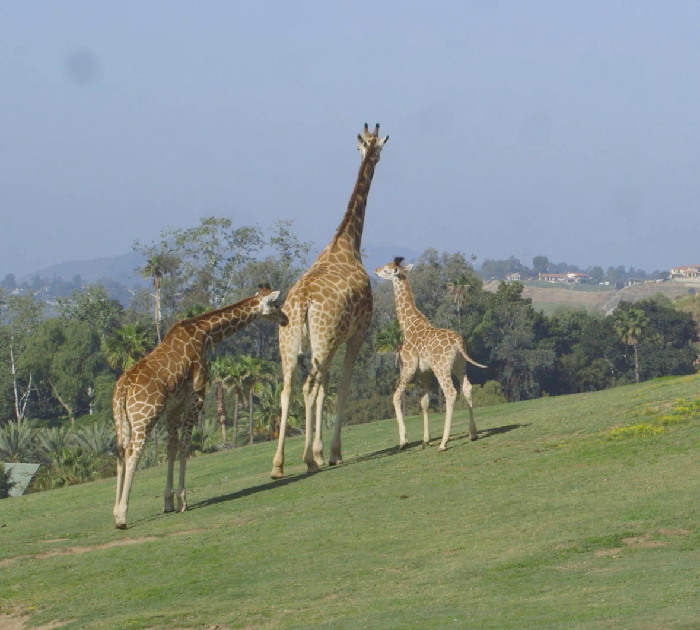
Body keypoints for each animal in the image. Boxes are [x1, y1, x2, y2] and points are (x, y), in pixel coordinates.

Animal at [112, 286, 288, 529]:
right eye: (276, 305)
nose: (285, 319)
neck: (203, 335)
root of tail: (123, 389)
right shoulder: (196, 396)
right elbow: (185, 446)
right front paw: (182, 500)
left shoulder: (174, 406)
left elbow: (171, 447)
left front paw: (168, 502)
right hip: (145, 416)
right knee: (132, 453)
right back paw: (122, 516)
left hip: (121, 419)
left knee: (120, 452)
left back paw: (114, 513)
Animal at [271, 123, 389, 478]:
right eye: (376, 146)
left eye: (367, 145)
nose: (374, 156)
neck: (347, 242)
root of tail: (302, 304)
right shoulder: (358, 332)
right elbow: (343, 387)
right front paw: (330, 453)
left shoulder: (325, 343)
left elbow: (325, 388)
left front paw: (320, 452)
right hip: (324, 340)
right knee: (308, 388)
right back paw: (307, 460)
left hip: (289, 343)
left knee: (288, 390)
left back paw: (279, 465)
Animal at [374, 258, 486, 452]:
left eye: (386, 270)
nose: (375, 270)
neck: (408, 326)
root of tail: (458, 342)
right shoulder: (424, 374)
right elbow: (424, 402)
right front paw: (425, 440)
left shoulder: (409, 367)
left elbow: (396, 397)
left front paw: (403, 441)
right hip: (459, 365)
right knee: (466, 387)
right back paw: (472, 433)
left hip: (441, 367)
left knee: (450, 392)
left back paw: (443, 443)